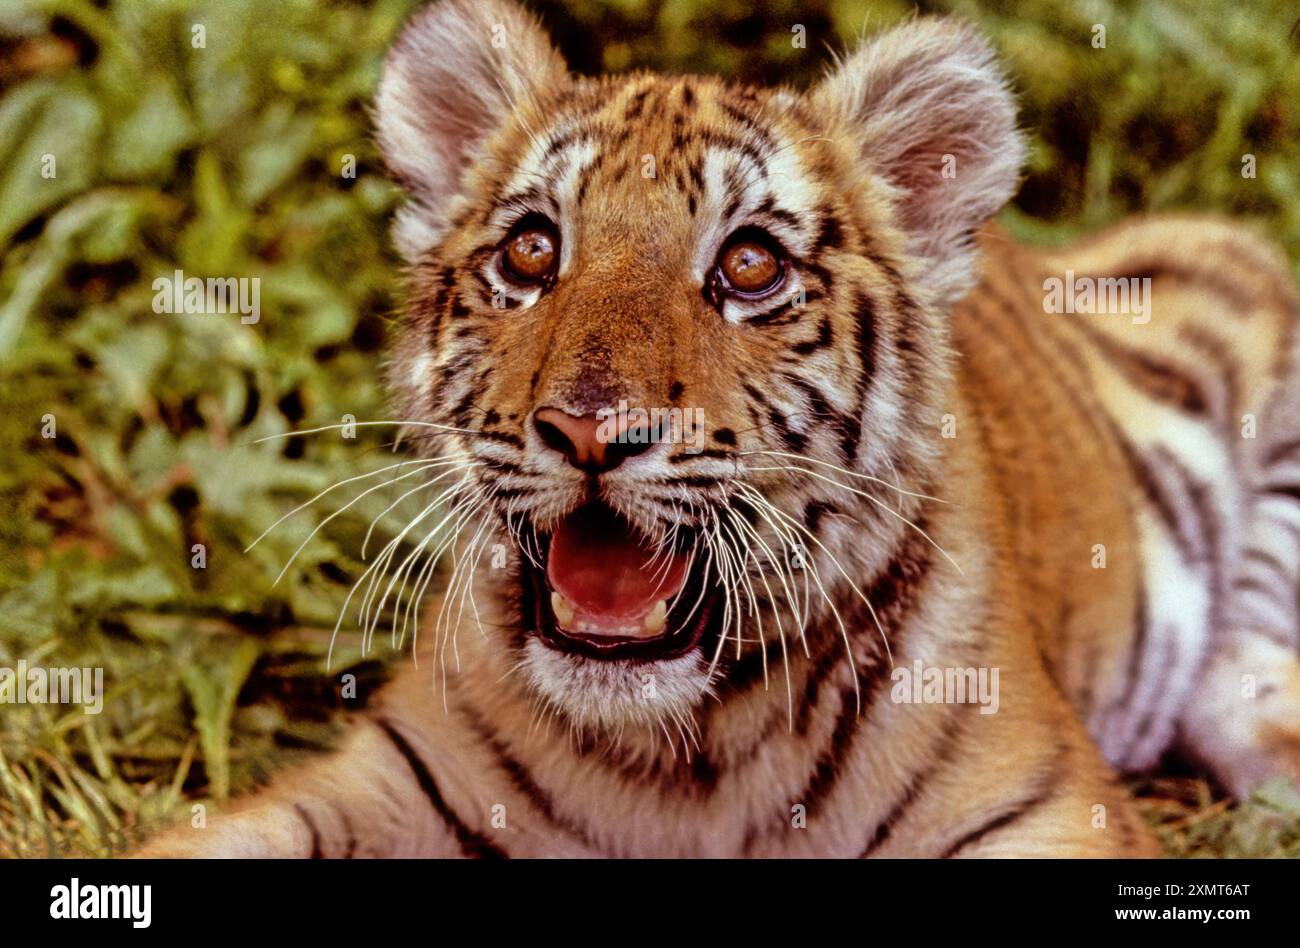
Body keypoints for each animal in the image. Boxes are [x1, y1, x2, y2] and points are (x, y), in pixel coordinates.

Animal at [133, 0, 1300, 858]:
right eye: (530, 252)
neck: (681, 755)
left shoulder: (1044, 811)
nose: (589, 430)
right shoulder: (390, 779)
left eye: (749, 266)